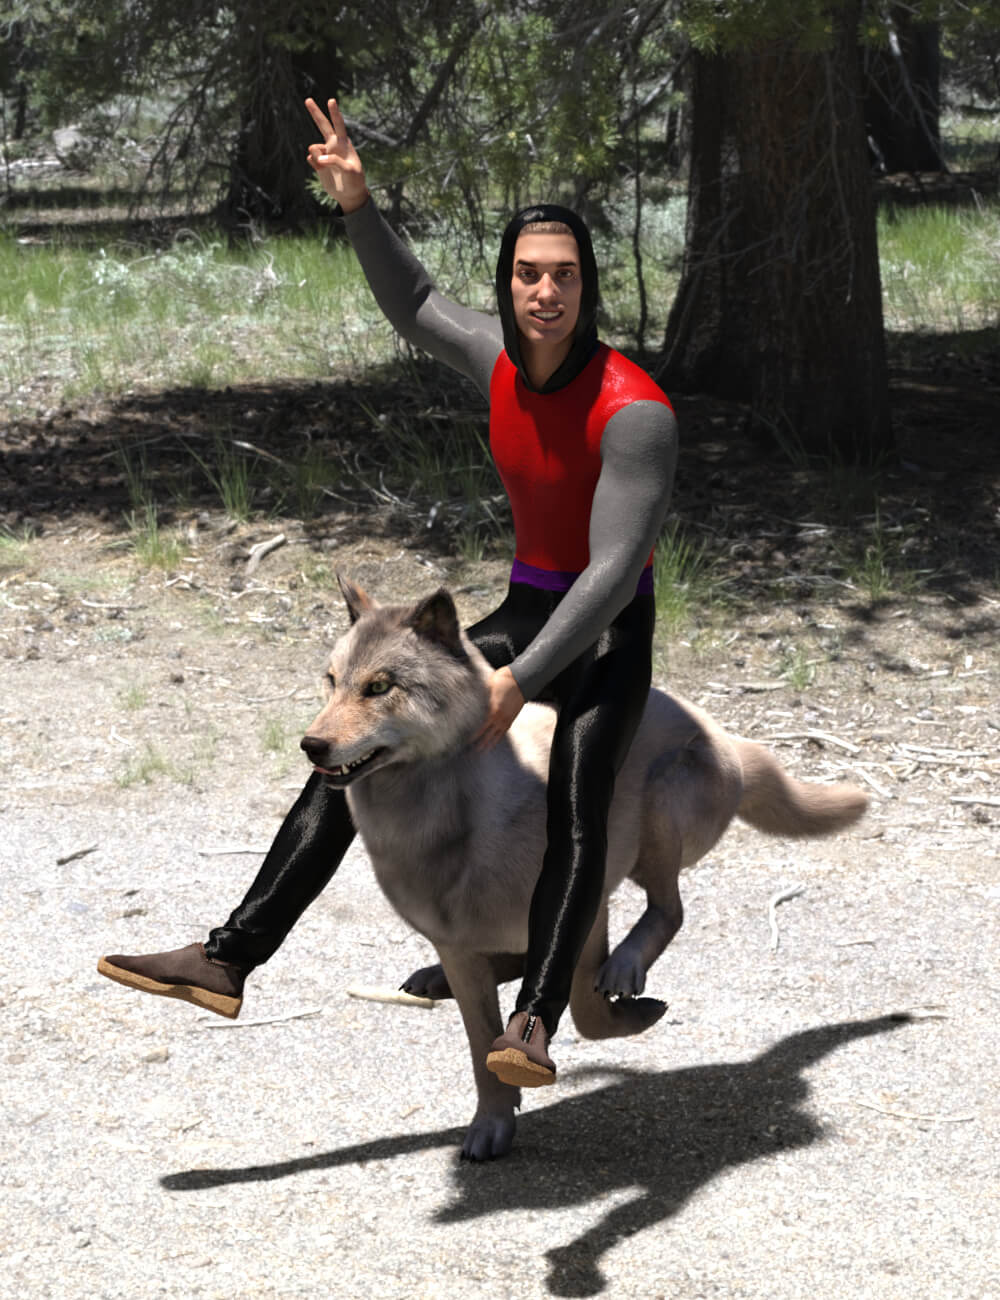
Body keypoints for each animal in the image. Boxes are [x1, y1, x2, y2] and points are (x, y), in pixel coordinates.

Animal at [300, 577, 868, 1160]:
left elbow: (582, 1011)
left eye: (379, 686)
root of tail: (731, 740)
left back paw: (624, 965)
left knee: (669, 910)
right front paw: (492, 1120)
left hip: (658, 811)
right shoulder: (456, 945)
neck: (451, 813)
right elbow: (482, 1044)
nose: (310, 746)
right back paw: (442, 979)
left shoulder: (585, 908)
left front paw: (625, 1015)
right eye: (331, 681)